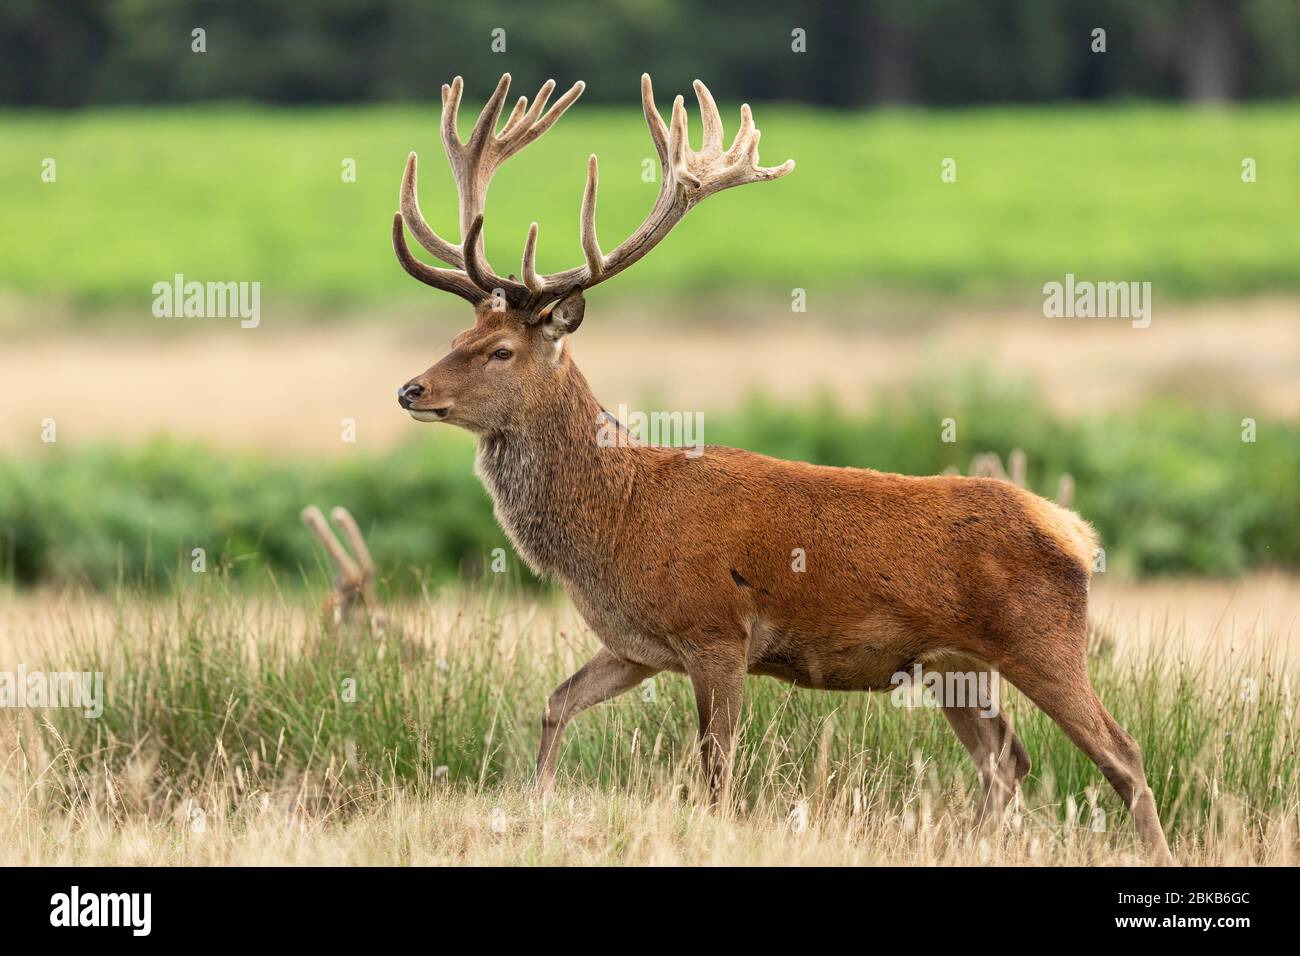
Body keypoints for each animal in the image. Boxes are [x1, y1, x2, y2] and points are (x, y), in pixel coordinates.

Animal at [389, 72, 1174, 864]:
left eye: (500, 351)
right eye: (456, 337)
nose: (410, 390)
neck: (614, 523)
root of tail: (1075, 531)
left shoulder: (715, 630)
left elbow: (716, 769)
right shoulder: (635, 646)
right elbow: (555, 705)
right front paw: (537, 806)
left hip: (1043, 642)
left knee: (1123, 755)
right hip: (954, 666)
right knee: (1007, 760)